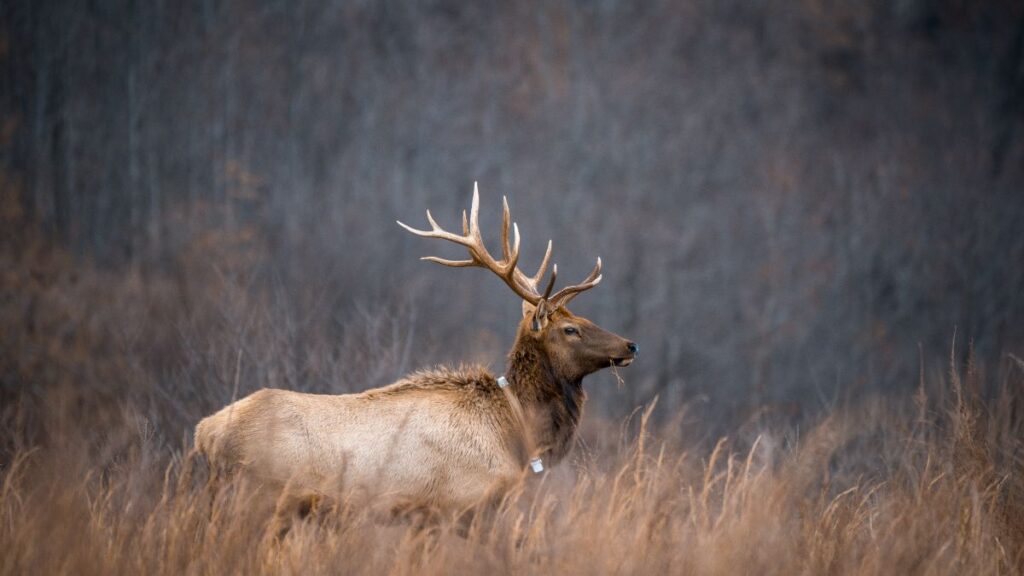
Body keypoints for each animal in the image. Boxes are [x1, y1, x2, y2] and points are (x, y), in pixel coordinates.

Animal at [194, 183, 637, 527]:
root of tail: (205, 433)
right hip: (254, 497)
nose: (630, 345)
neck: (517, 434)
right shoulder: (461, 504)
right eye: (570, 329)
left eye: (583, 317)